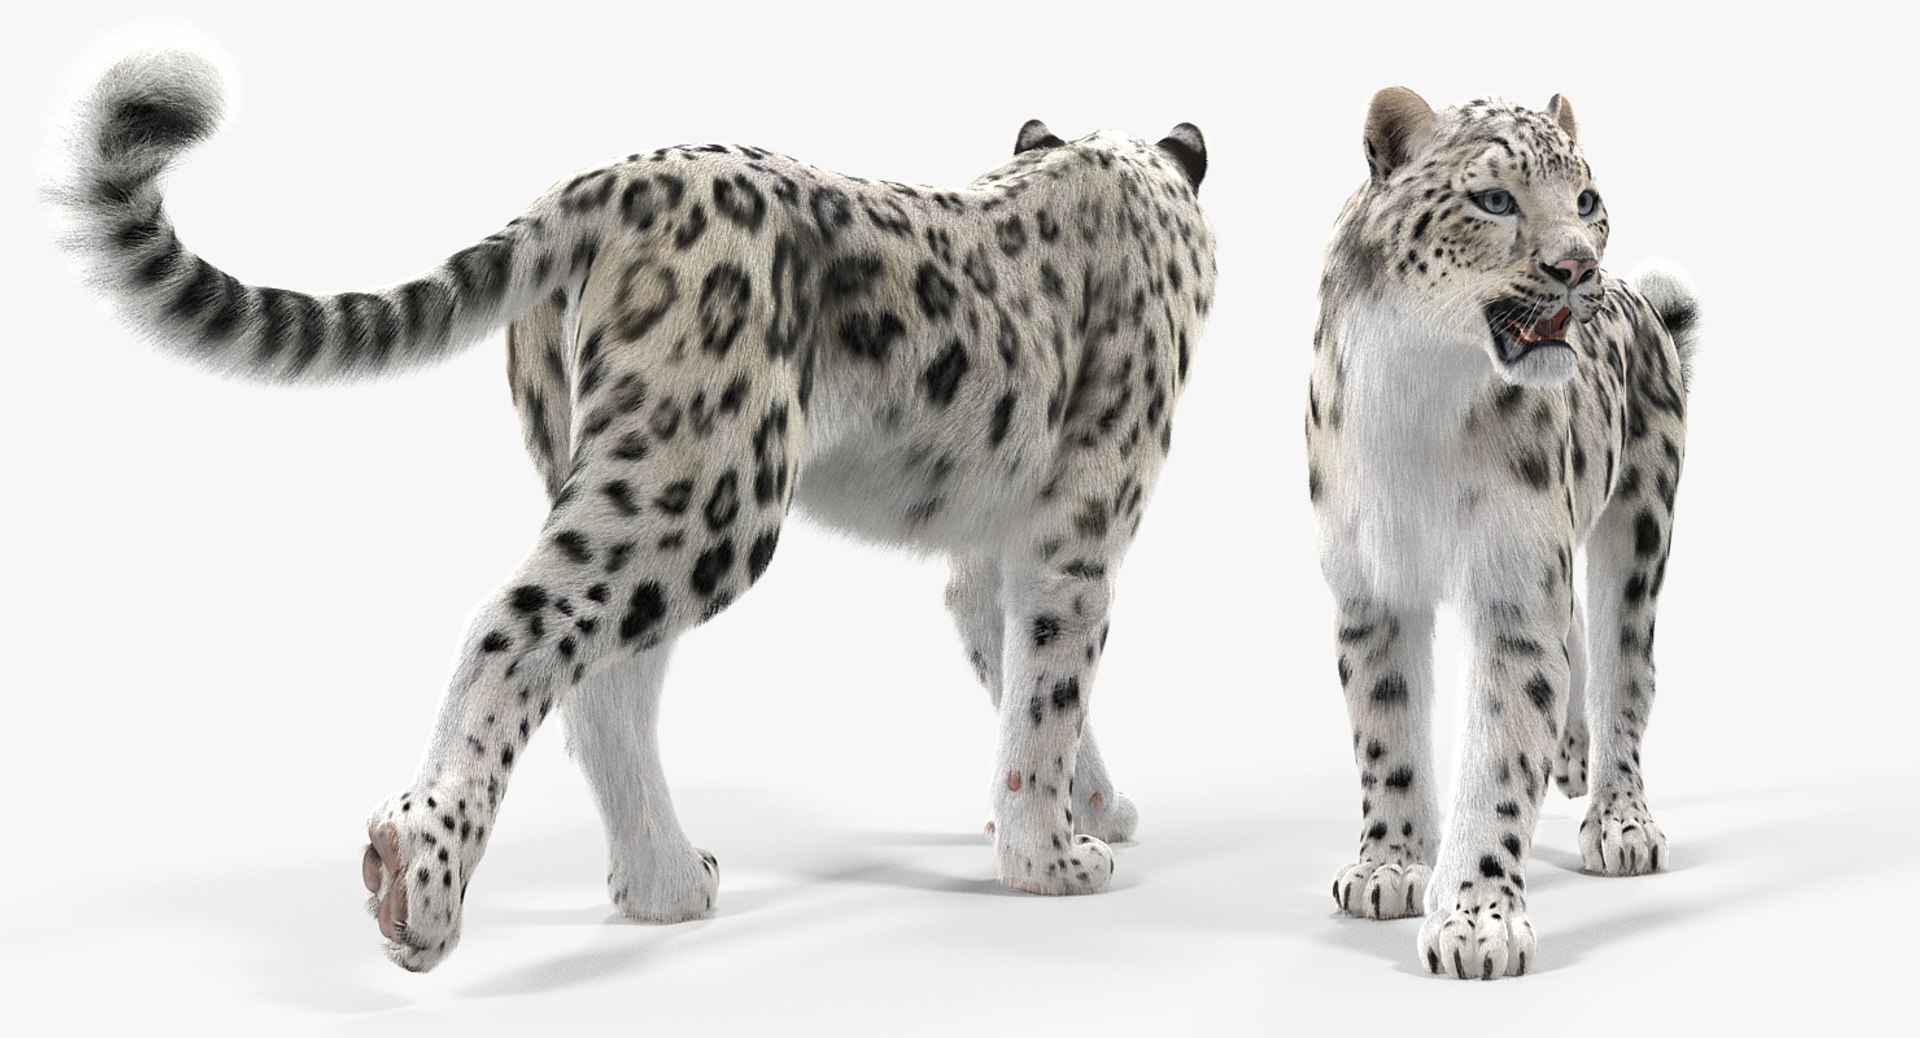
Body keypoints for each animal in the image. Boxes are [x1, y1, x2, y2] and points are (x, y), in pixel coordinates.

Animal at [57, 52, 1215, 972]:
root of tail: (597, 186)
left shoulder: (988, 555)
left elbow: (1015, 675)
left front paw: (1089, 810)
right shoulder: (1079, 535)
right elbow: (1052, 691)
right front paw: (1052, 859)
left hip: (625, 479)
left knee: (603, 679)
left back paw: (663, 883)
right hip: (704, 487)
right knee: (520, 629)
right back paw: (418, 876)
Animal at [1304, 87, 1697, 979]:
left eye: (1585, 200)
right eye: (1493, 199)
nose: (1577, 267)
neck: (1422, 394)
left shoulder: (1514, 587)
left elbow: (1500, 750)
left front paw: (1478, 921)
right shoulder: (1371, 588)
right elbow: (1385, 731)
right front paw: (1390, 867)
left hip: (1638, 526)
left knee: (1626, 669)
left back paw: (1620, 820)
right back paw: (1573, 757)